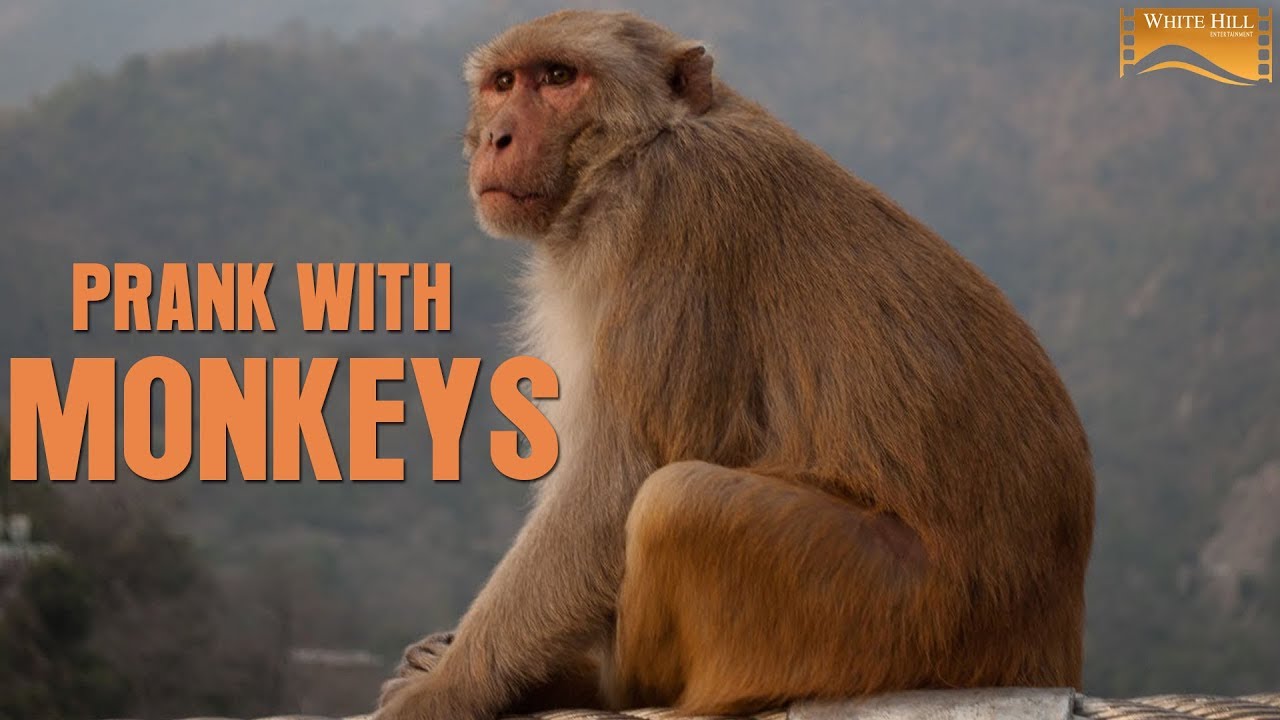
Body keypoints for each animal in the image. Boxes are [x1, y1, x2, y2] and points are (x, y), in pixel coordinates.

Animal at [375, 9, 1094, 720]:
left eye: (557, 77)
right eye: (502, 83)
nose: (497, 137)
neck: (643, 144)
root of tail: (1047, 639)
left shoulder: (665, 212)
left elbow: (615, 483)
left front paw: (448, 690)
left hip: (885, 615)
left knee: (678, 500)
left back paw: (602, 687)